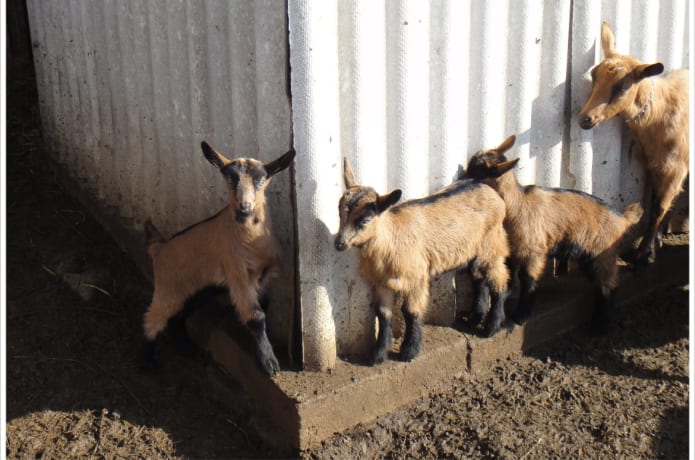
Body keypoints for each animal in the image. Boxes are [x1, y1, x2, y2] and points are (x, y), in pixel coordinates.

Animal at [141, 141, 295, 376]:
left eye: (261, 179)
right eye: (229, 177)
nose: (244, 207)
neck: (250, 239)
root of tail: (159, 249)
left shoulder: (264, 276)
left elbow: (265, 306)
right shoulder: (238, 273)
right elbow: (256, 315)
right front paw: (269, 363)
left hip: (197, 288)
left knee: (181, 314)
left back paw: (186, 349)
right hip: (168, 289)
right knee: (153, 319)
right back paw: (148, 364)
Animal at [335, 158, 510, 364]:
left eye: (365, 220)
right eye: (340, 213)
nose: (339, 243)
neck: (389, 239)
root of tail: (486, 188)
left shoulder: (416, 278)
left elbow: (410, 311)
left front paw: (409, 352)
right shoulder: (381, 282)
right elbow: (383, 314)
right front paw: (378, 355)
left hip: (491, 243)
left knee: (498, 279)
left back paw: (491, 327)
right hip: (473, 249)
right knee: (478, 277)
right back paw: (475, 319)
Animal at [464, 135, 643, 330]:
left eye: (477, 168)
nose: (462, 176)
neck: (516, 204)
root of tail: (622, 218)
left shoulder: (533, 251)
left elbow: (528, 280)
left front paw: (521, 315)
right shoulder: (511, 251)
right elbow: (509, 278)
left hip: (603, 254)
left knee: (608, 285)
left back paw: (602, 324)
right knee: (601, 283)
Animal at [578, 21, 689, 264]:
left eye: (622, 86)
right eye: (594, 74)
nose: (585, 119)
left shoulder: (676, 167)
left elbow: (659, 207)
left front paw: (645, 254)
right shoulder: (654, 165)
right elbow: (655, 201)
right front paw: (655, 241)